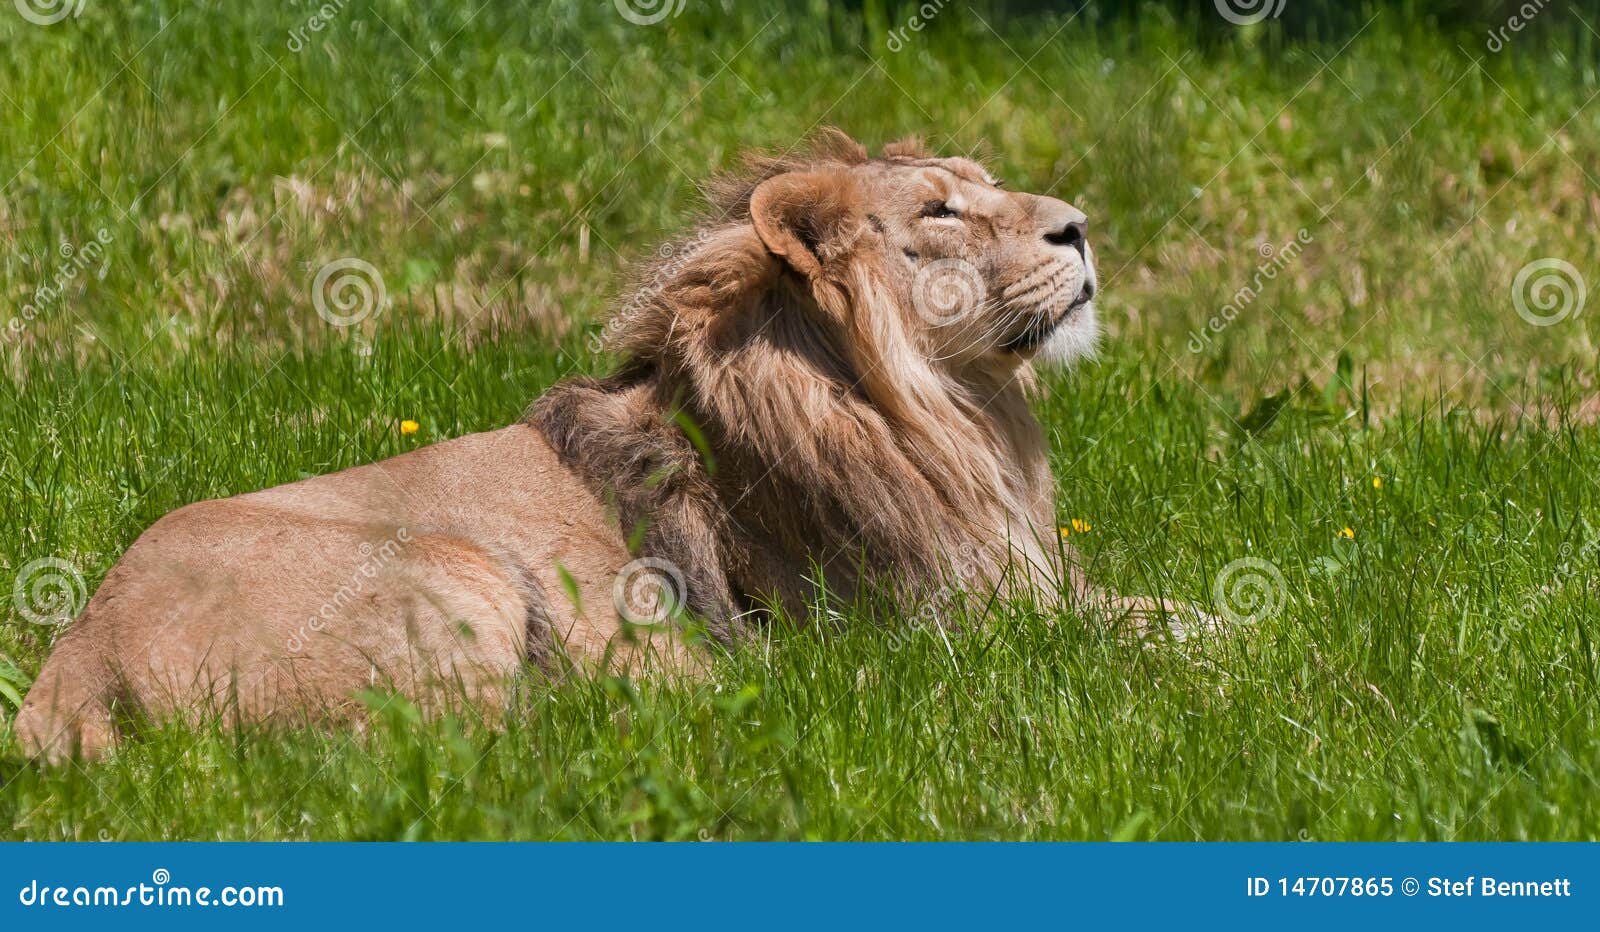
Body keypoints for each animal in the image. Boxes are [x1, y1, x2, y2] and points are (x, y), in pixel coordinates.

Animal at [16, 130, 1188, 762]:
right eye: (941, 210)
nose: (1082, 226)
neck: (957, 413)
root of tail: (73, 666)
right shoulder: (936, 625)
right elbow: (1150, 639)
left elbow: (1159, 608)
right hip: (455, 561)